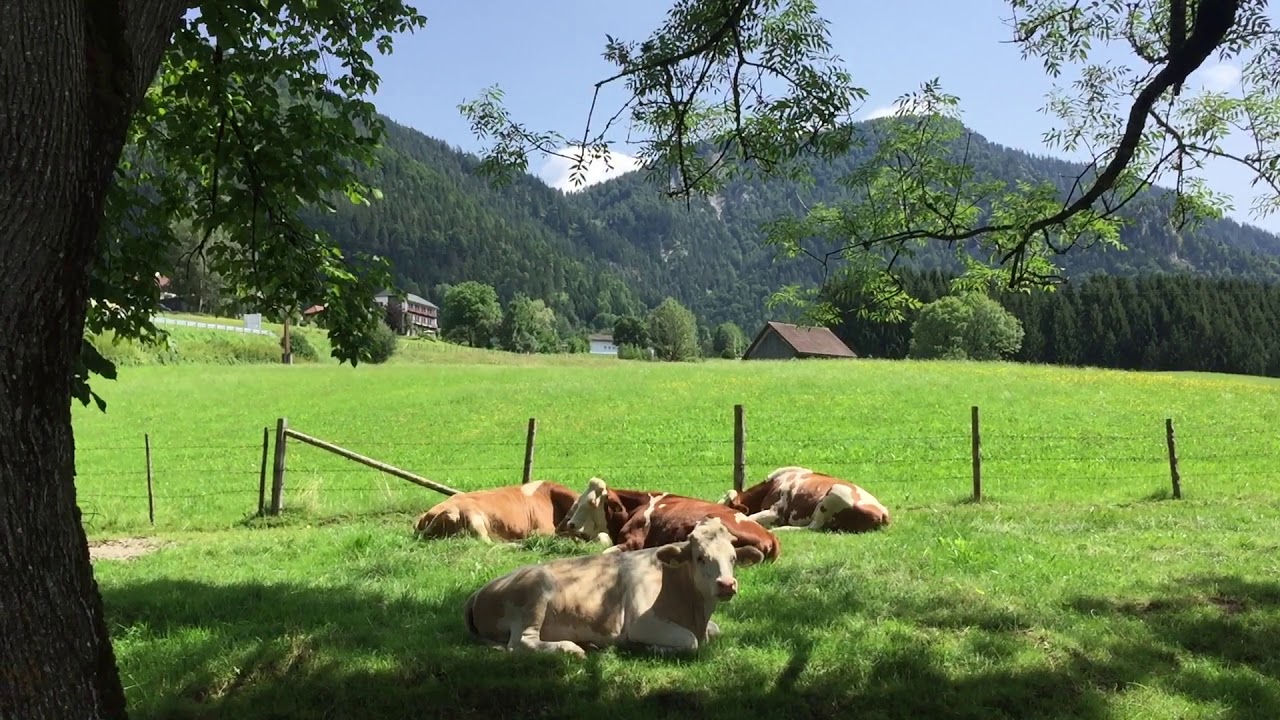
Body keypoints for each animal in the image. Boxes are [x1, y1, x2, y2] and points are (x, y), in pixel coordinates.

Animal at [462, 516, 765, 657]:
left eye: (733, 558)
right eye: (700, 557)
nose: (726, 584)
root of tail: (479, 592)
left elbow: (716, 630)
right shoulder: (641, 624)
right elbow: (690, 642)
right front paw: (651, 649)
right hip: (535, 594)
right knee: (521, 642)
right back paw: (571, 649)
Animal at [719, 465, 891, 533]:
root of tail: (884, 513)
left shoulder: (776, 512)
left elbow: (751, 518)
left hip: (834, 493)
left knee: (812, 527)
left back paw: (780, 529)